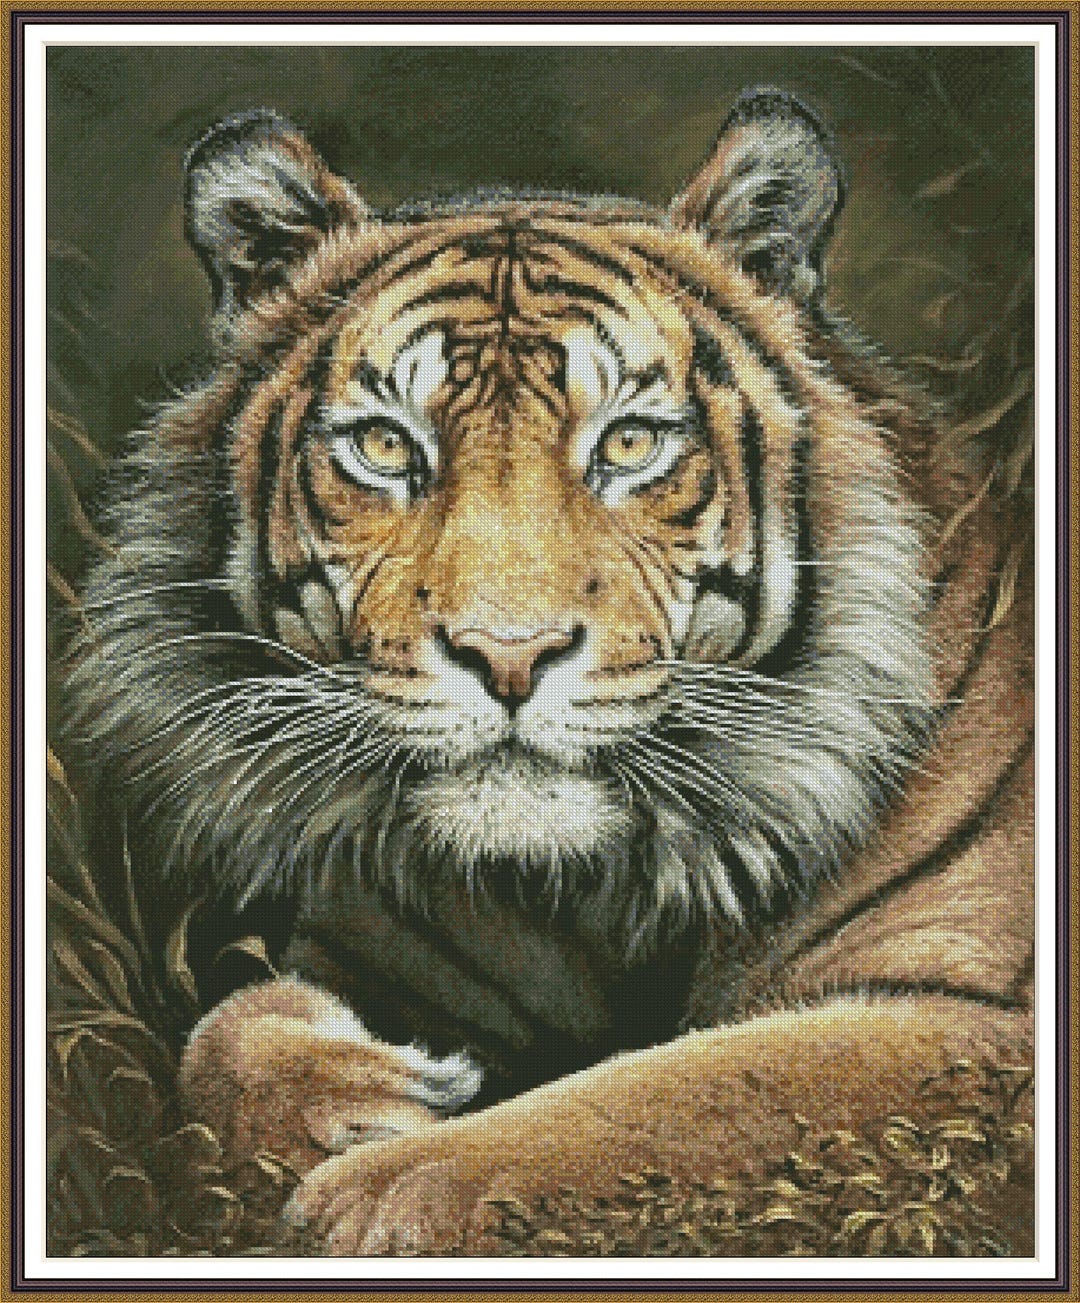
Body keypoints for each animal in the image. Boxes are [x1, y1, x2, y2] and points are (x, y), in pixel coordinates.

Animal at [64, 89, 1034, 1255]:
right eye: (386, 448)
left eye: (629, 445)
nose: (509, 653)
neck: (595, 894)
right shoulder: (377, 959)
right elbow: (220, 1033)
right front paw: (367, 1096)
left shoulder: (978, 1027)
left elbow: (675, 1096)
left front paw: (374, 1193)